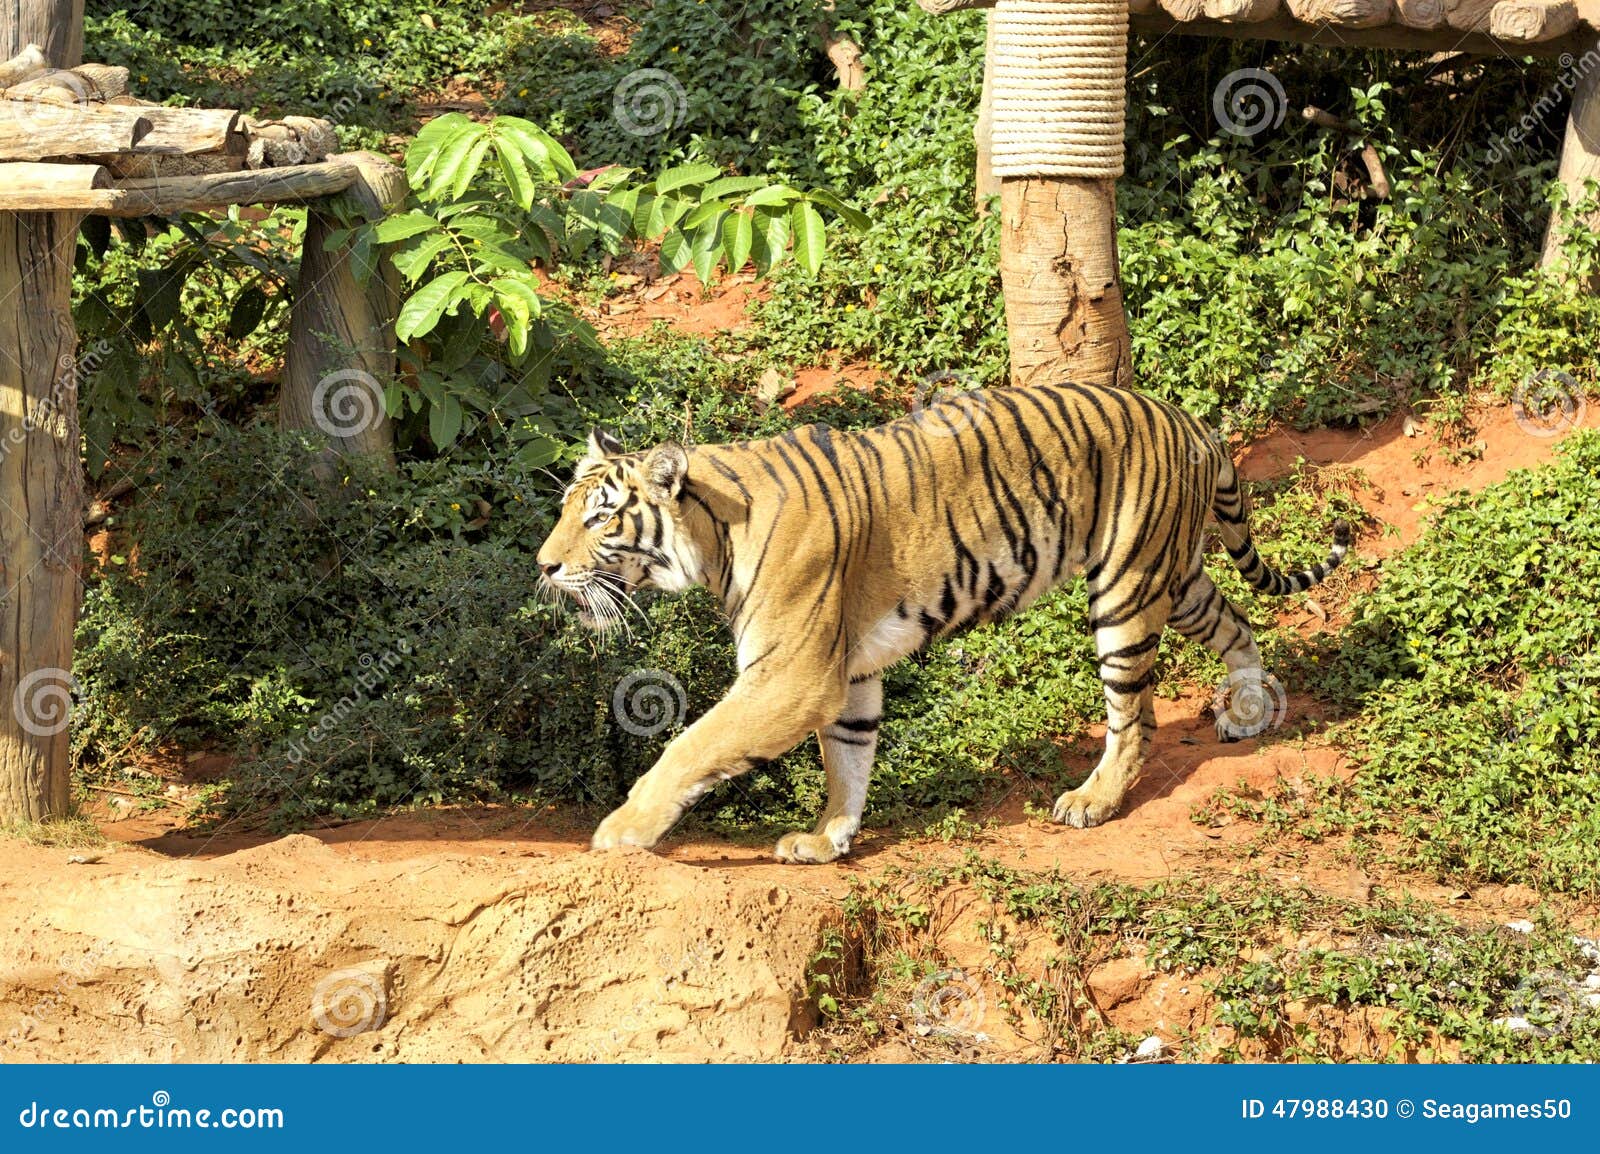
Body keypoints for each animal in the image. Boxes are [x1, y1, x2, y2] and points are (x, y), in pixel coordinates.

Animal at [537, 380, 1349, 864]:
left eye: (600, 517)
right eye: (564, 510)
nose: (543, 566)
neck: (714, 539)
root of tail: (1190, 420)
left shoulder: (790, 676)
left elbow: (691, 746)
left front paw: (624, 828)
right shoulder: (847, 676)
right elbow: (847, 762)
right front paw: (828, 839)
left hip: (1125, 588)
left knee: (1136, 717)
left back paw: (1093, 800)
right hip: (1171, 576)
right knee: (1234, 620)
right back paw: (1250, 711)